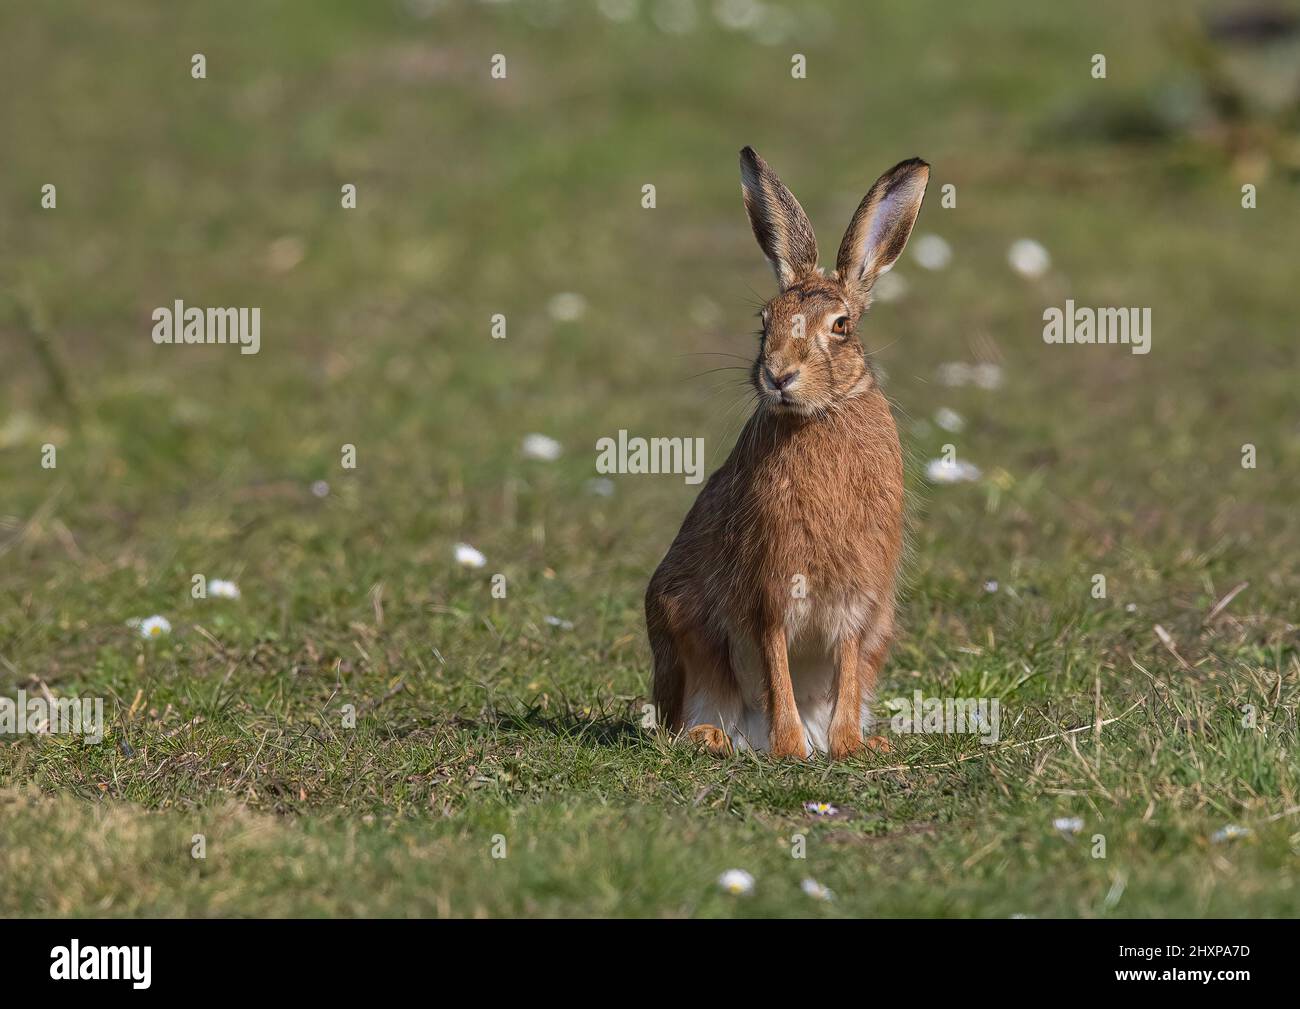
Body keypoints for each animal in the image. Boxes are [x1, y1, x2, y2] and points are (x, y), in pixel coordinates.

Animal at [645, 146, 929, 759]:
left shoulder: (858, 605)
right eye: (765, 321)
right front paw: (792, 750)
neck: (817, 415)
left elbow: (847, 666)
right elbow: (775, 663)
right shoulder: (767, 594)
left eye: (841, 326)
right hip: (683, 626)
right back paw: (717, 737)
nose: (778, 376)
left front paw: (848, 747)